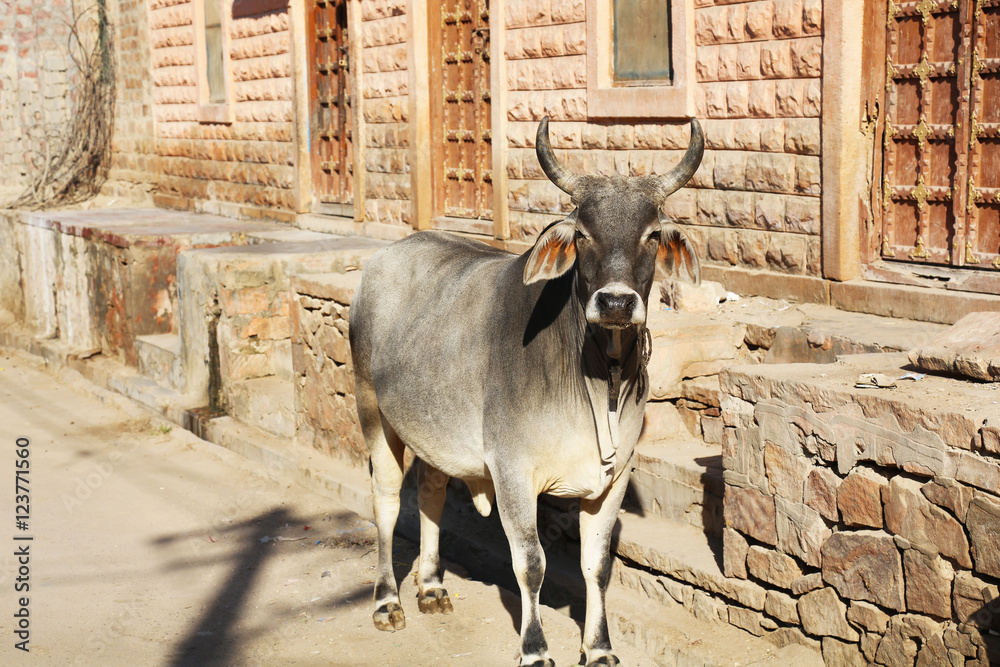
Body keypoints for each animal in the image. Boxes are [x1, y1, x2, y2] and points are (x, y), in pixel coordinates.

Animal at [349, 116, 704, 666]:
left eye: (650, 234)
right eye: (581, 233)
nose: (616, 303)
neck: (597, 376)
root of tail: (384, 258)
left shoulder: (615, 477)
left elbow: (597, 566)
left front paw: (599, 647)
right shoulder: (512, 470)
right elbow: (531, 564)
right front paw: (535, 649)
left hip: (434, 430)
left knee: (430, 491)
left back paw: (430, 586)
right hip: (373, 412)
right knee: (386, 499)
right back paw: (388, 600)